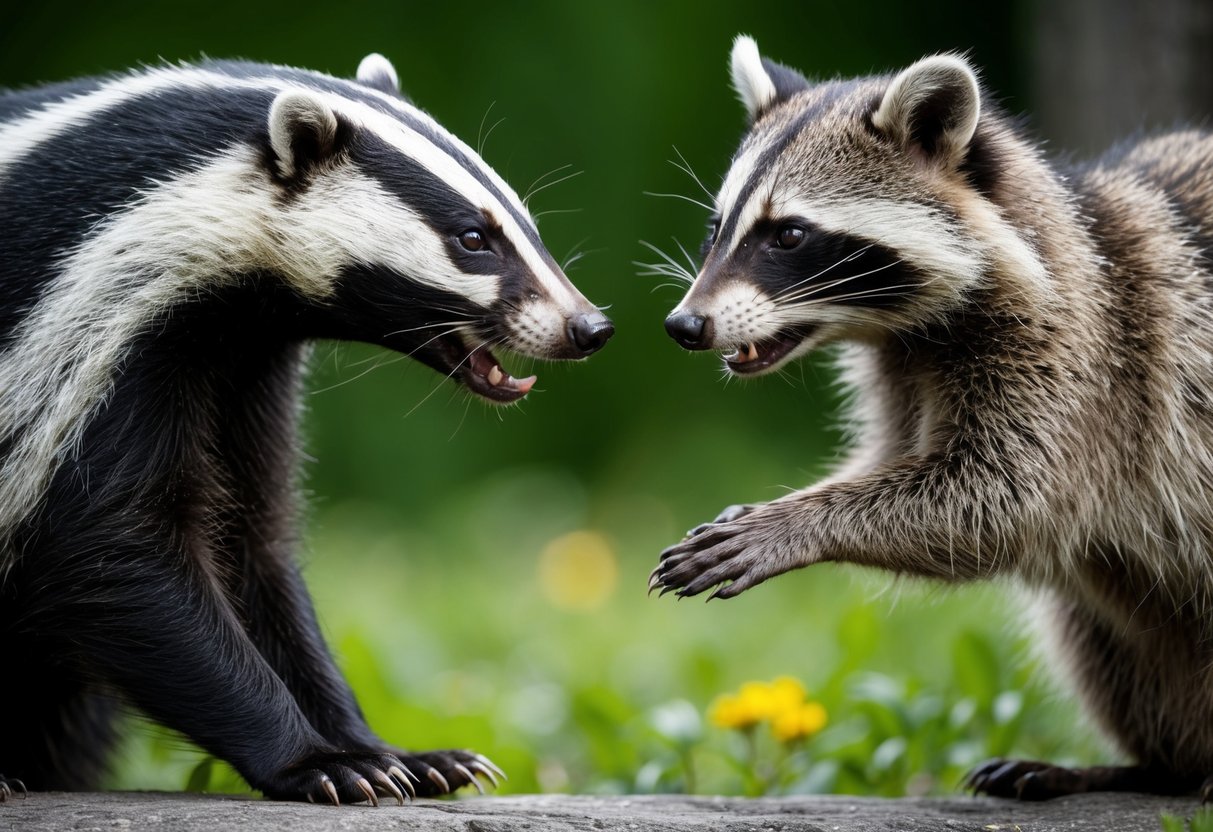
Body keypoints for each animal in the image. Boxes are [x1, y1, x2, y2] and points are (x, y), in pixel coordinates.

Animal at [0, 54, 611, 804]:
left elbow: (252, 552)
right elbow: (112, 554)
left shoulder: (241, 370)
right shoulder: (87, 349)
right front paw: (317, 762)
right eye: (472, 237)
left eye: (527, 223)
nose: (588, 327)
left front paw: (395, 756)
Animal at [652, 36, 1213, 800]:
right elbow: (903, 464)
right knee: (1094, 632)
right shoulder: (903, 370)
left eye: (788, 234)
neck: (909, 331)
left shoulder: (1096, 360)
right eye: (718, 228)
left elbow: (1000, 500)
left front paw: (796, 523)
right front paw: (798, 500)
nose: (684, 325)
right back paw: (1155, 766)